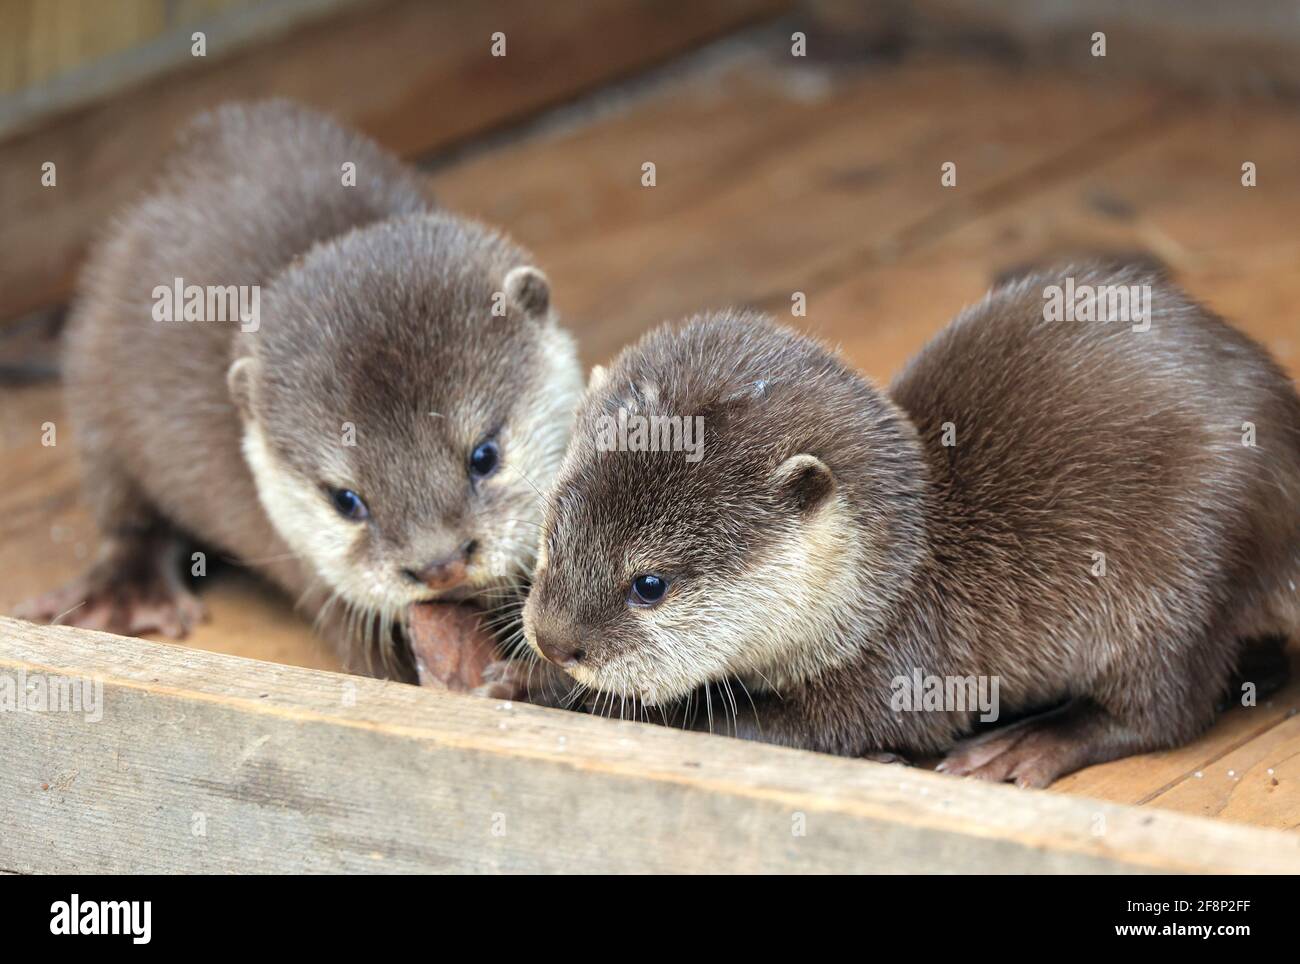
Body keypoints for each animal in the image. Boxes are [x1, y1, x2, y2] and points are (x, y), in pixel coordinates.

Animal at [16, 101, 583, 680]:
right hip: (94, 380)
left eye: (485, 455)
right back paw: (128, 592)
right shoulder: (313, 575)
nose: (439, 565)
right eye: (345, 500)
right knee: (126, 510)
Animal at [500, 264, 1300, 787]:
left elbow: (773, 730)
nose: (555, 640)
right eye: (552, 534)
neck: (889, 590)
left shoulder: (896, 673)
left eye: (650, 584)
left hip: (1188, 569)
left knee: (1164, 708)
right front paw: (520, 674)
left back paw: (1023, 748)